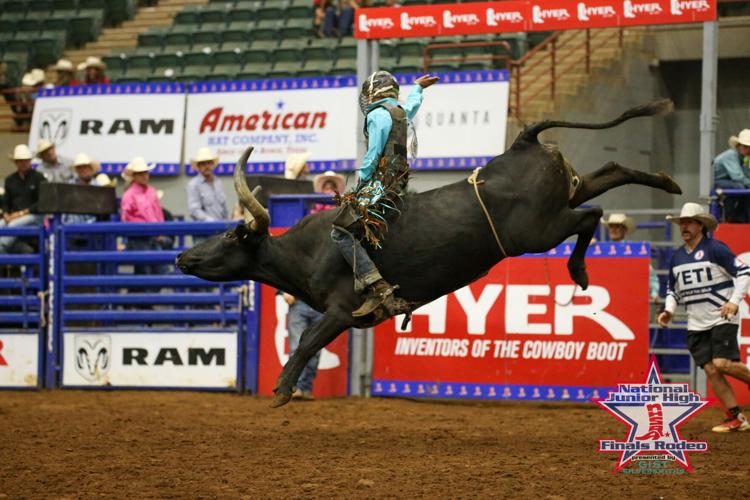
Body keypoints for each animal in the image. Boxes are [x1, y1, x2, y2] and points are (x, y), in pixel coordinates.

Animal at [176, 100, 682, 407]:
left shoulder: (340, 311)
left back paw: (578, 271)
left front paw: (281, 390)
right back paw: (666, 182)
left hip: (539, 231)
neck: (308, 250)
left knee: (590, 216)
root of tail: (521, 143)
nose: (184, 260)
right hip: (566, 195)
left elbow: (305, 342)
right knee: (608, 174)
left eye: (230, 237)